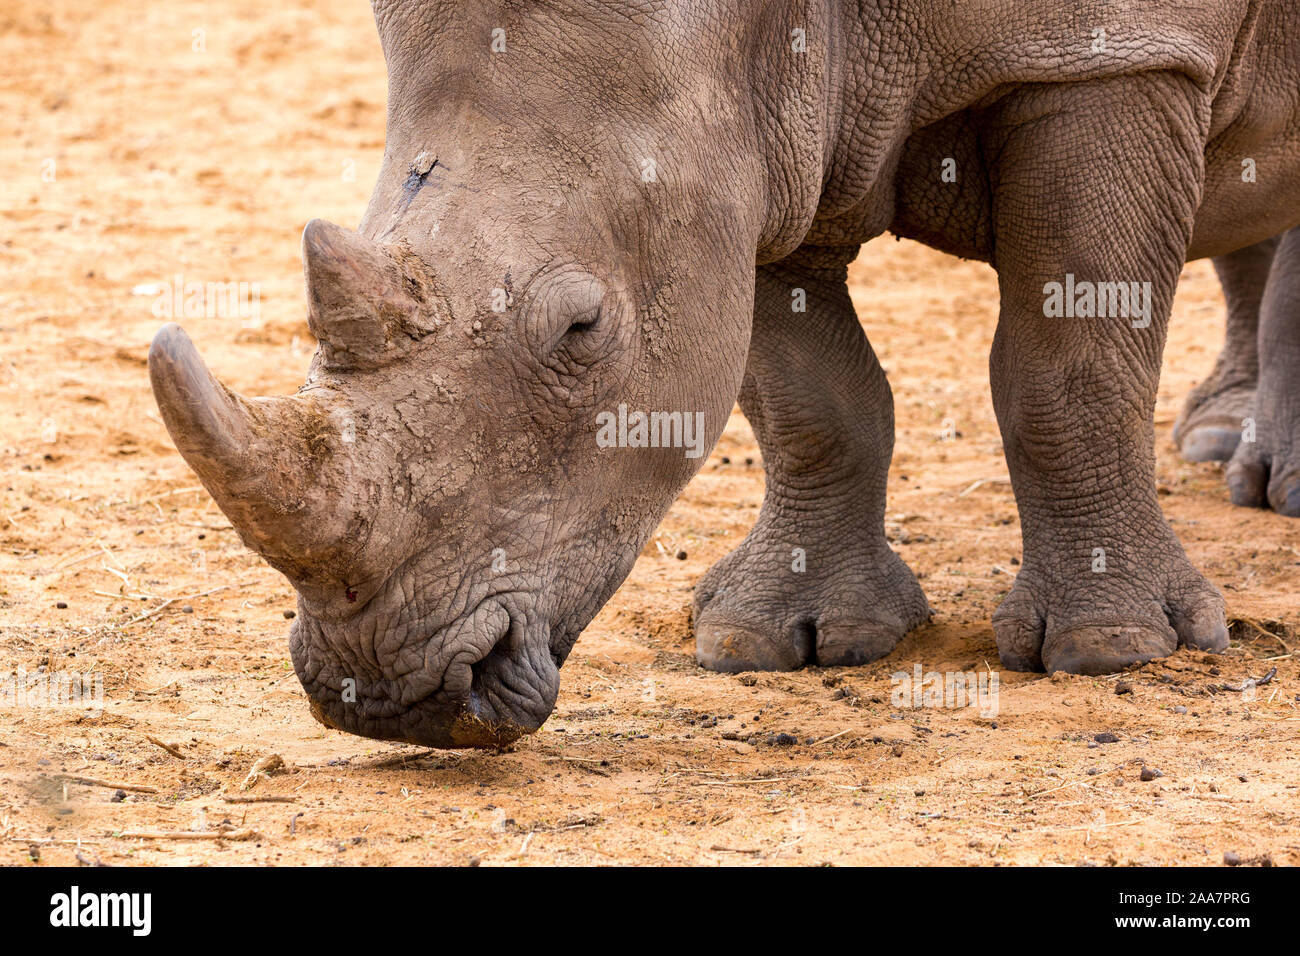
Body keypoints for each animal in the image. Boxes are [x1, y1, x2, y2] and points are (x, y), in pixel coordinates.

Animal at [149, 0, 1300, 748]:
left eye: (581, 327)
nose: (387, 698)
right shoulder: (757, 137)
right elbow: (811, 398)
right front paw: (780, 641)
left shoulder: (1109, 55)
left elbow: (1069, 364)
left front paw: (1112, 651)